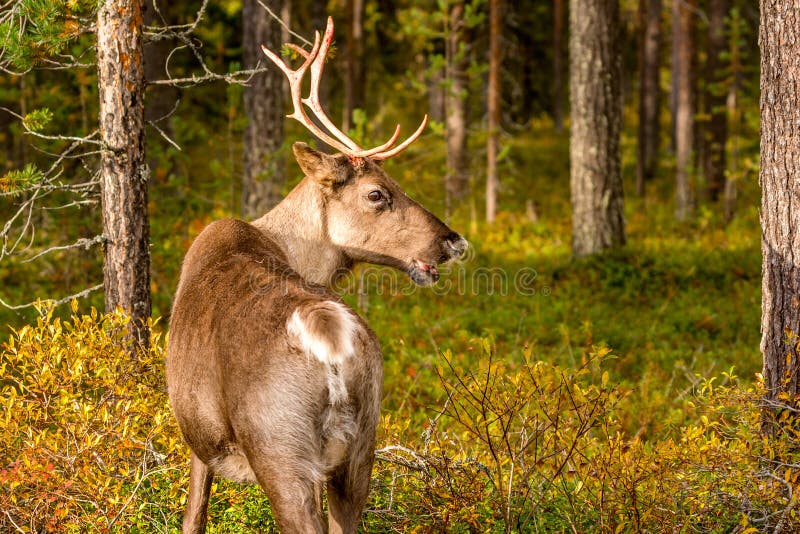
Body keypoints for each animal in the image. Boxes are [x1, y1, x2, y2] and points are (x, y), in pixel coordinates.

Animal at [166, 16, 467, 534]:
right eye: (377, 193)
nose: (451, 240)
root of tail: (332, 344)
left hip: (280, 450)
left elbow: (193, 516)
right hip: (361, 450)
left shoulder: (199, 437)